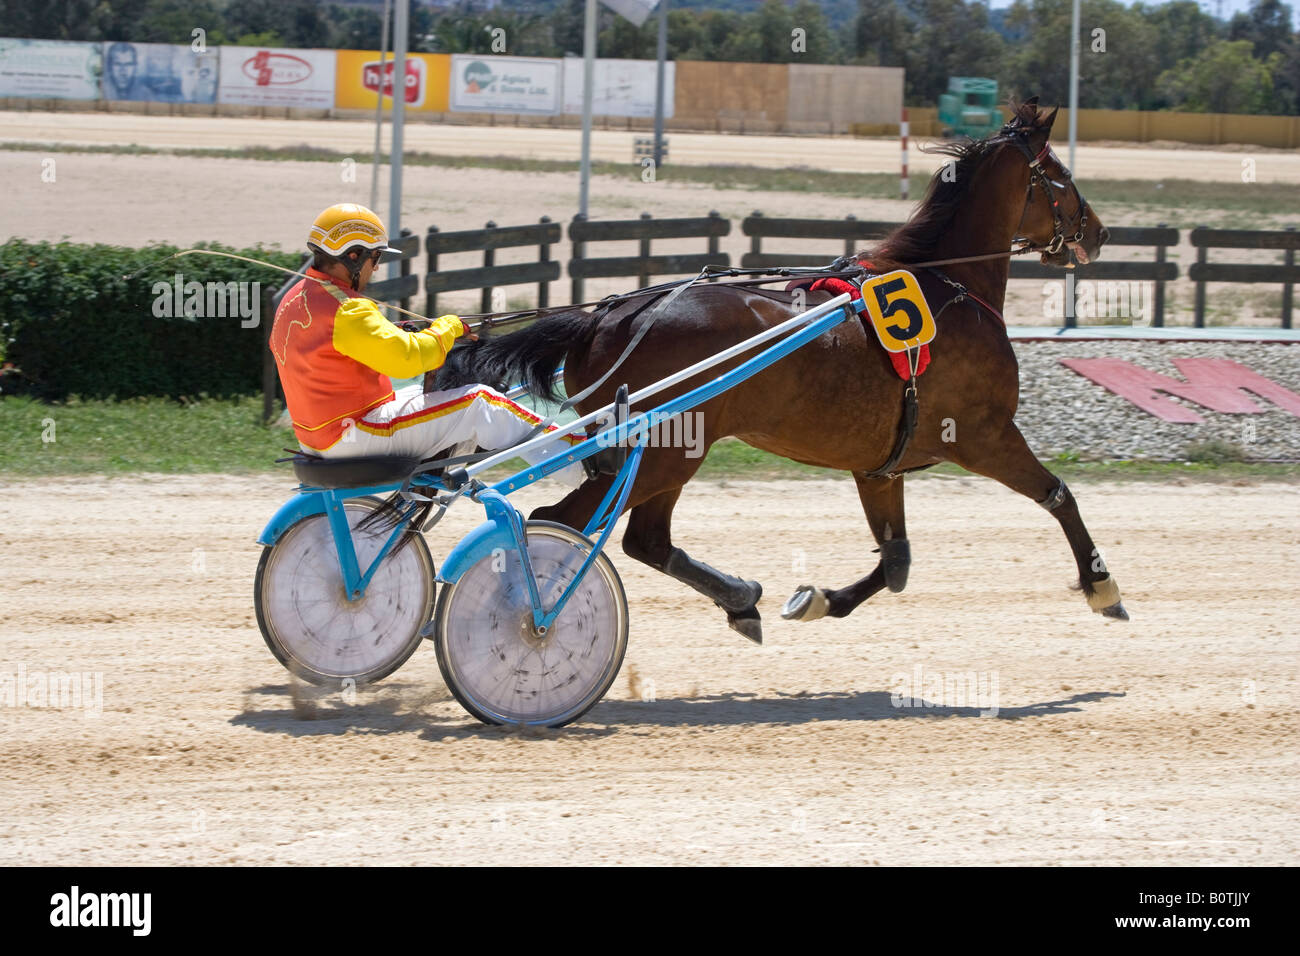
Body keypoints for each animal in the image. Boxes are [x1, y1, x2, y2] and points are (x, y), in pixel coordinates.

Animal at [432, 98, 1127, 643]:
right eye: (1060, 174)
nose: (1099, 231)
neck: (948, 286)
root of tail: (609, 316)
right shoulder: (984, 435)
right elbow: (1059, 495)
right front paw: (1103, 586)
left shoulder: (880, 463)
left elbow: (896, 561)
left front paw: (816, 600)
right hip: (665, 451)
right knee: (565, 524)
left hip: (662, 453)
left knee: (641, 540)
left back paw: (741, 600)